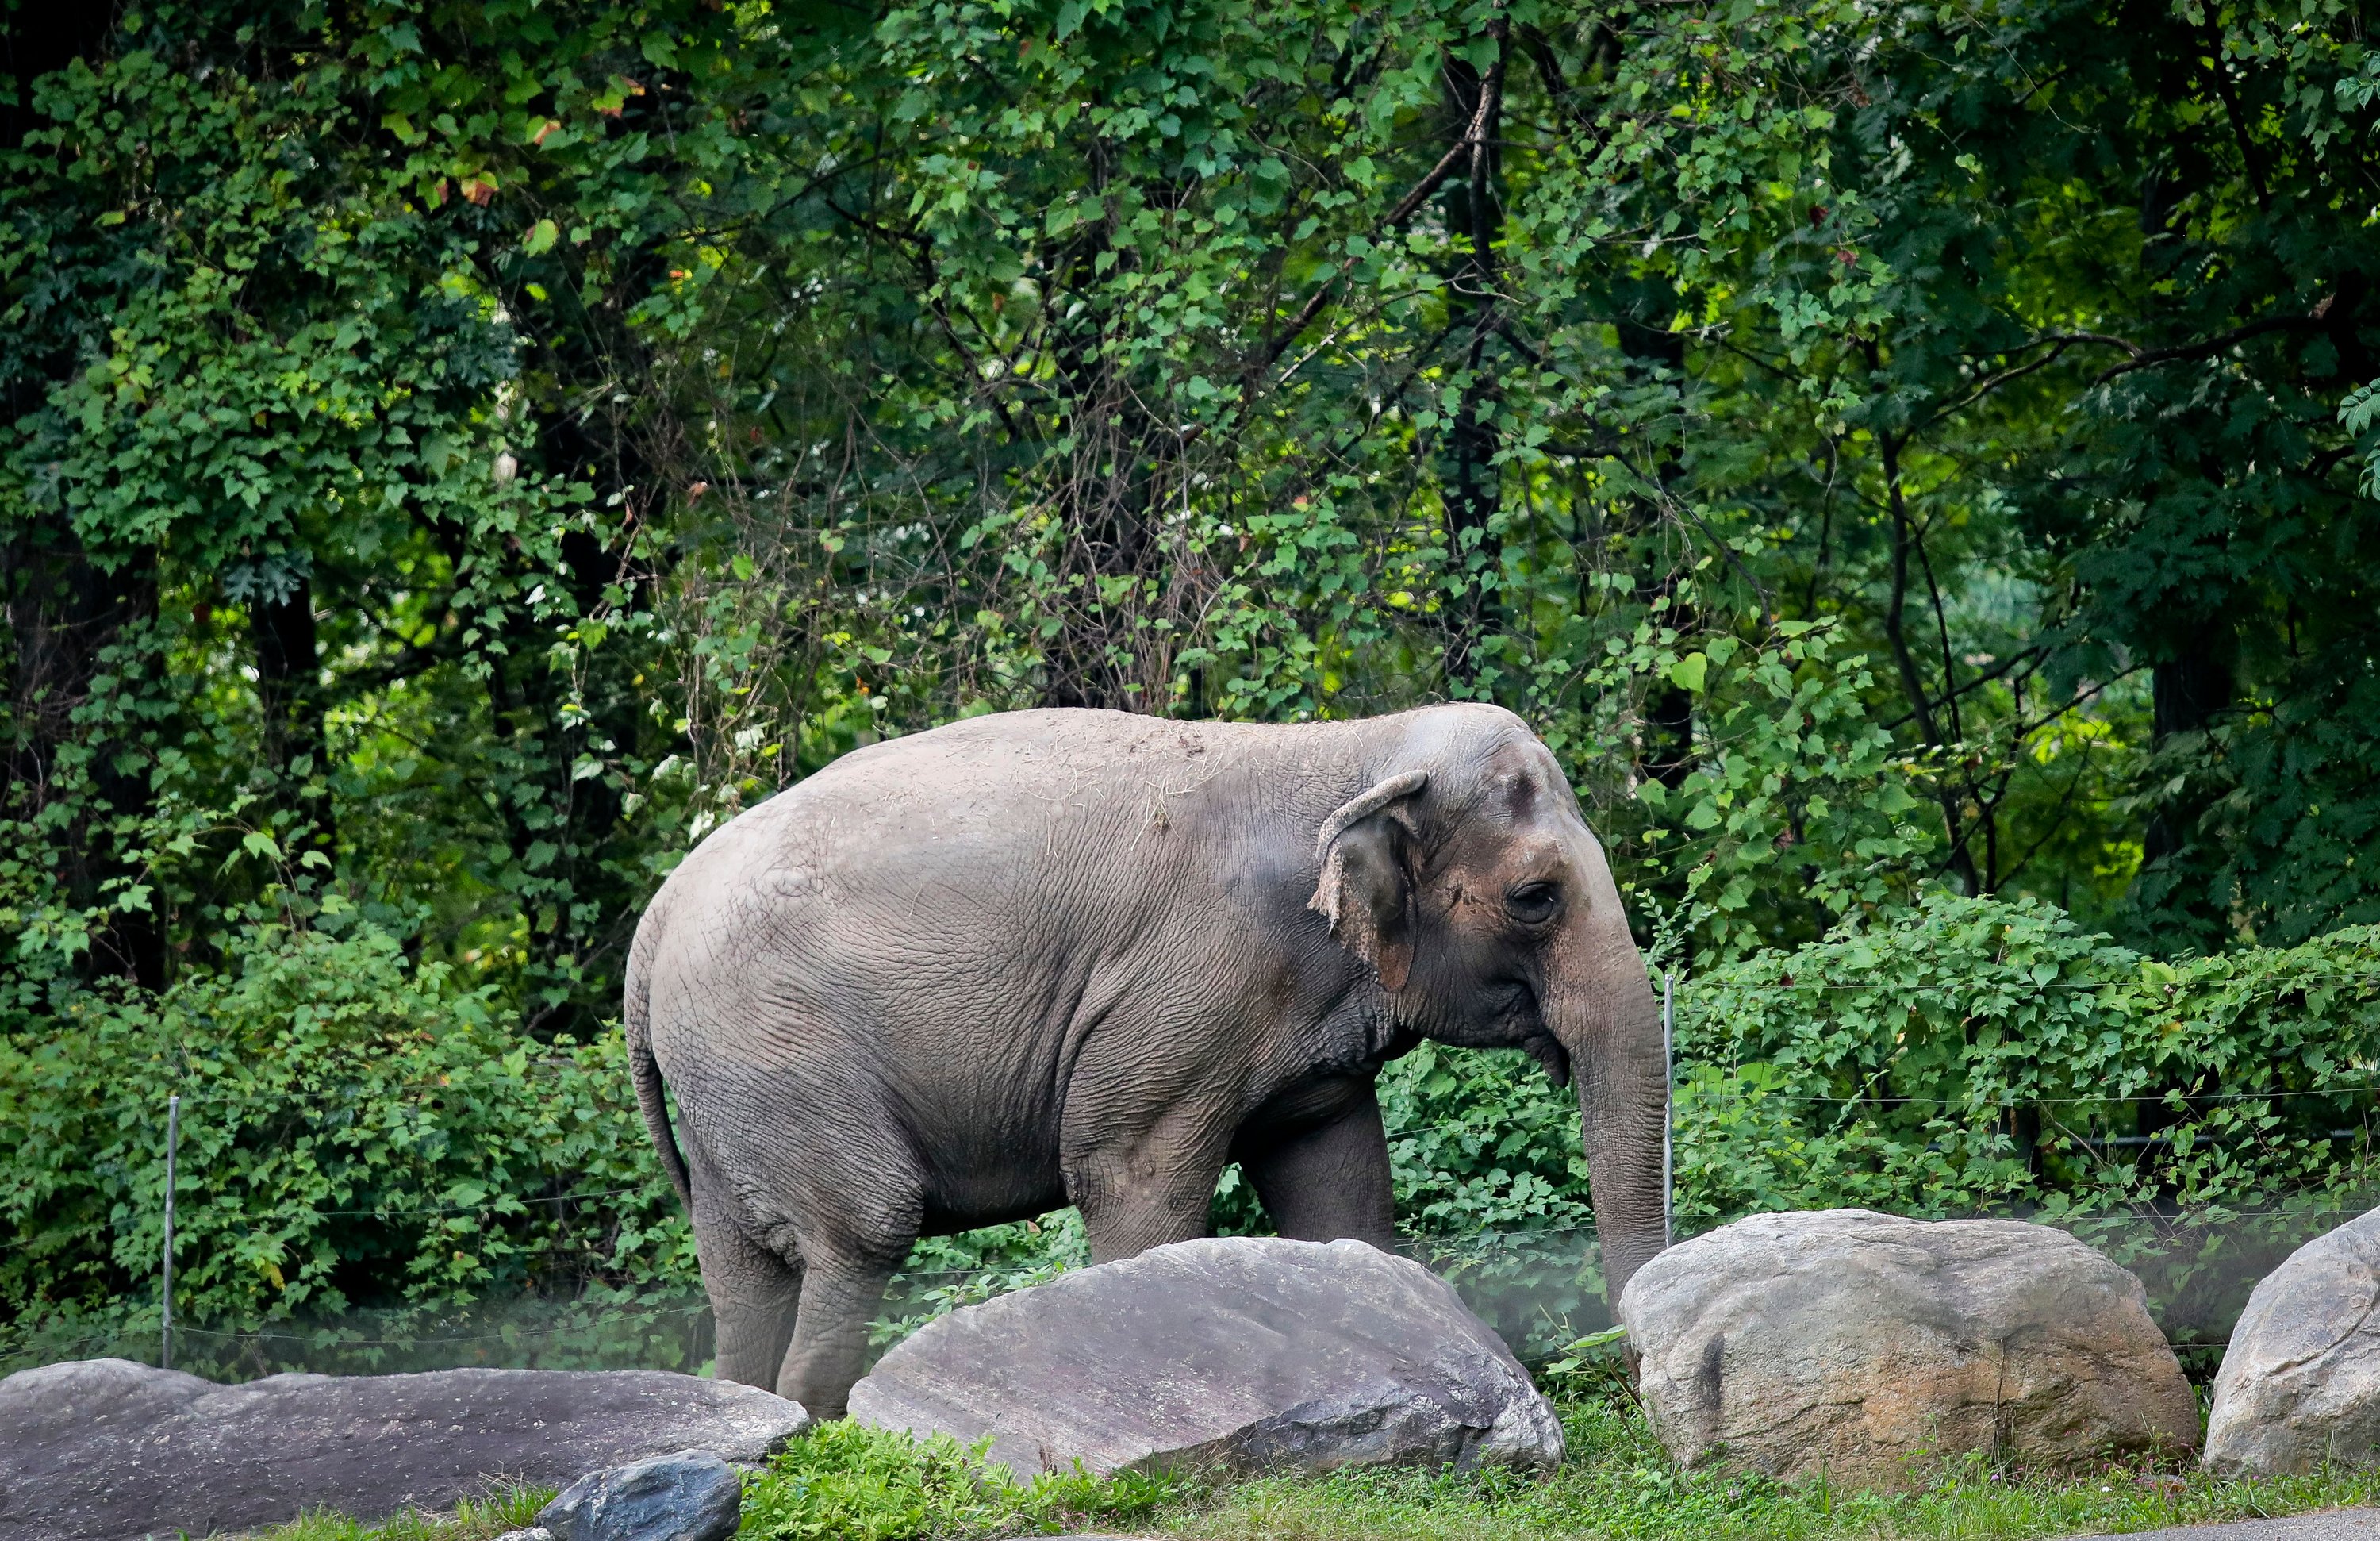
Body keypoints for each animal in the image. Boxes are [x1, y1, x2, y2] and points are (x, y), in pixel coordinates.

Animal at [625, 703, 1669, 1417]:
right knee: (863, 1231)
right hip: (779, 1049)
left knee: (742, 1274)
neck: (1351, 749)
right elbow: (1132, 1178)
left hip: (728, 1085)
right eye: (1535, 898)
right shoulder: (1183, 991)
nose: (1630, 1377)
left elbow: (1339, 1187)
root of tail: (656, 919)